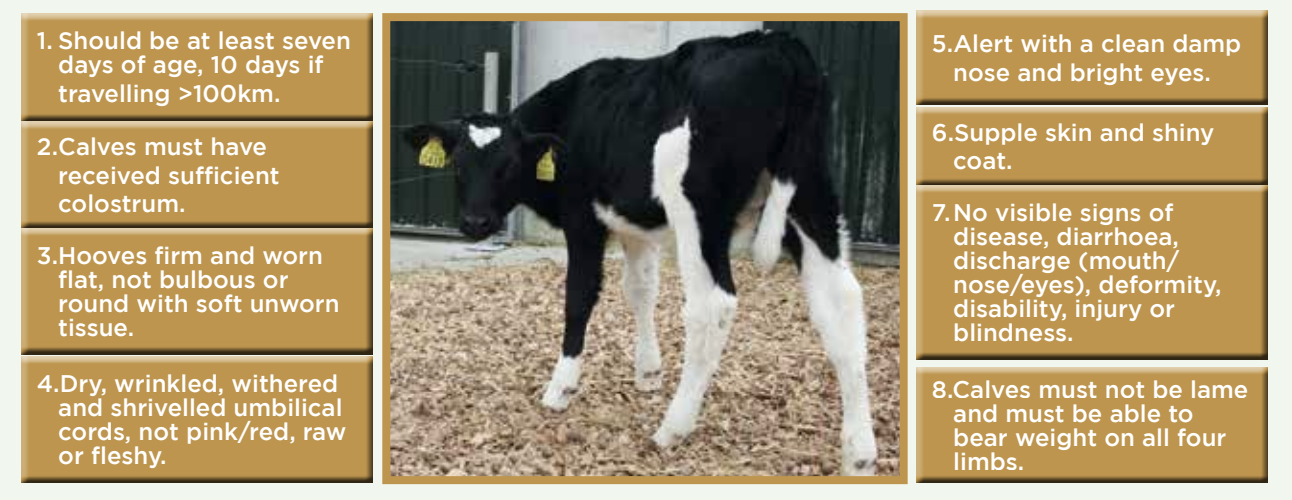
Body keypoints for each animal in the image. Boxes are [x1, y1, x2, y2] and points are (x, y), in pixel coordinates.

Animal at [405, 30, 878, 475]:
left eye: (507, 166)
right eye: (458, 166)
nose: (475, 223)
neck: (571, 116)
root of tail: (777, 44)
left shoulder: (583, 219)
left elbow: (579, 296)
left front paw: (561, 387)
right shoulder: (633, 225)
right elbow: (641, 289)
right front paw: (648, 372)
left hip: (698, 208)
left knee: (712, 305)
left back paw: (673, 427)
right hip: (811, 197)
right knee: (840, 301)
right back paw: (860, 452)